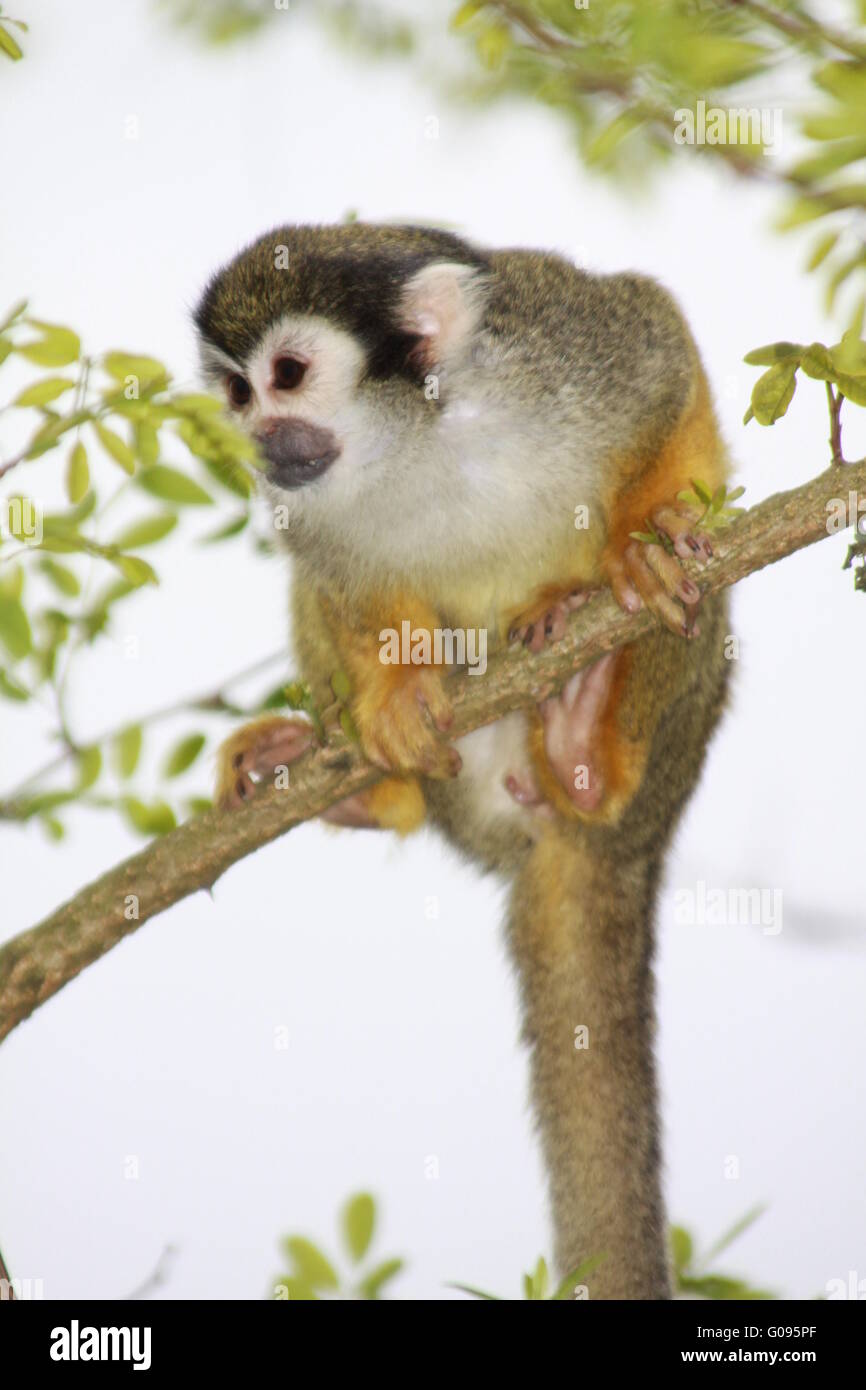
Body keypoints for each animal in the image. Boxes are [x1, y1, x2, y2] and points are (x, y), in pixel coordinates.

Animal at [194, 222, 730, 1300]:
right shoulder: (316, 510)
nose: (263, 438)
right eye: (235, 391)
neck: (410, 446)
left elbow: (659, 350)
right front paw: (397, 697)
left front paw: (641, 539)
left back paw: (586, 748)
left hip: (673, 749)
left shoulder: (553, 357)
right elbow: (344, 579)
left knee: (702, 592)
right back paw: (373, 791)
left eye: (288, 375)